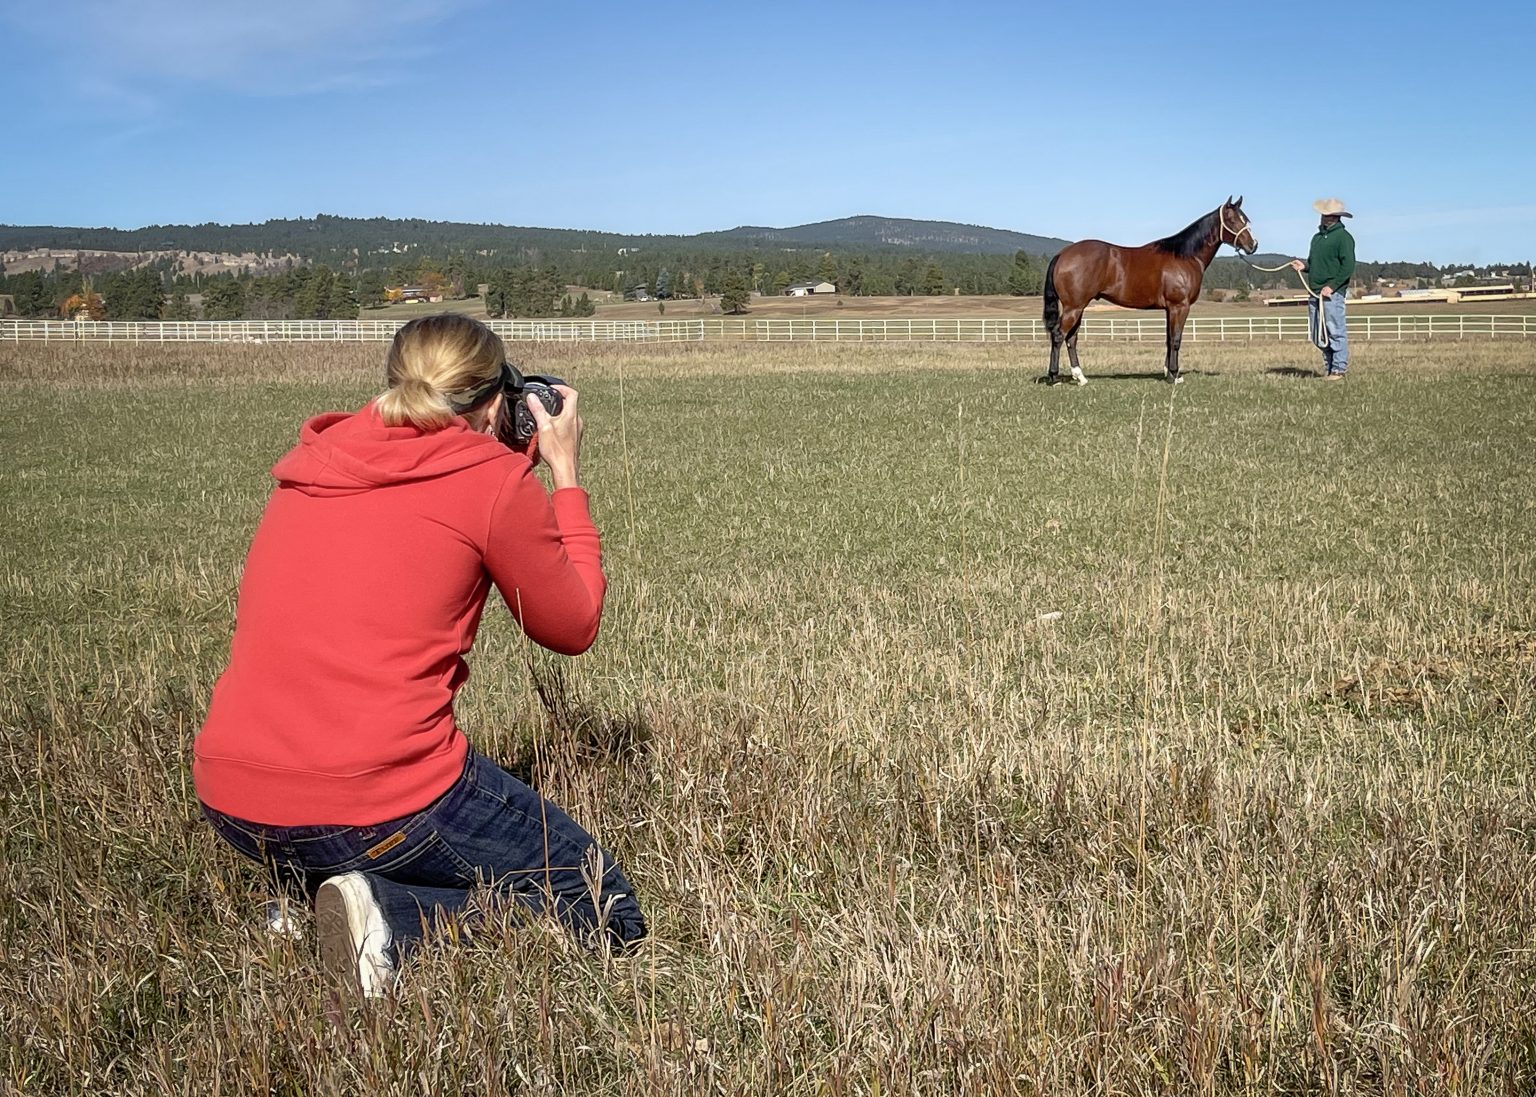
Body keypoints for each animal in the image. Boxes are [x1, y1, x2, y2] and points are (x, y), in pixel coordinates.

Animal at [1042, 197, 1257, 385]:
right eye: (1232, 220)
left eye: (1245, 219)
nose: (1253, 245)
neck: (1184, 255)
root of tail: (1063, 254)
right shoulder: (1180, 306)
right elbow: (1176, 339)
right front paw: (1174, 375)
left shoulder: (1170, 309)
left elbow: (1168, 339)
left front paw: (1169, 372)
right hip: (1073, 307)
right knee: (1059, 335)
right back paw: (1054, 377)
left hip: (1078, 308)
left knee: (1071, 339)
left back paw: (1080, 377)